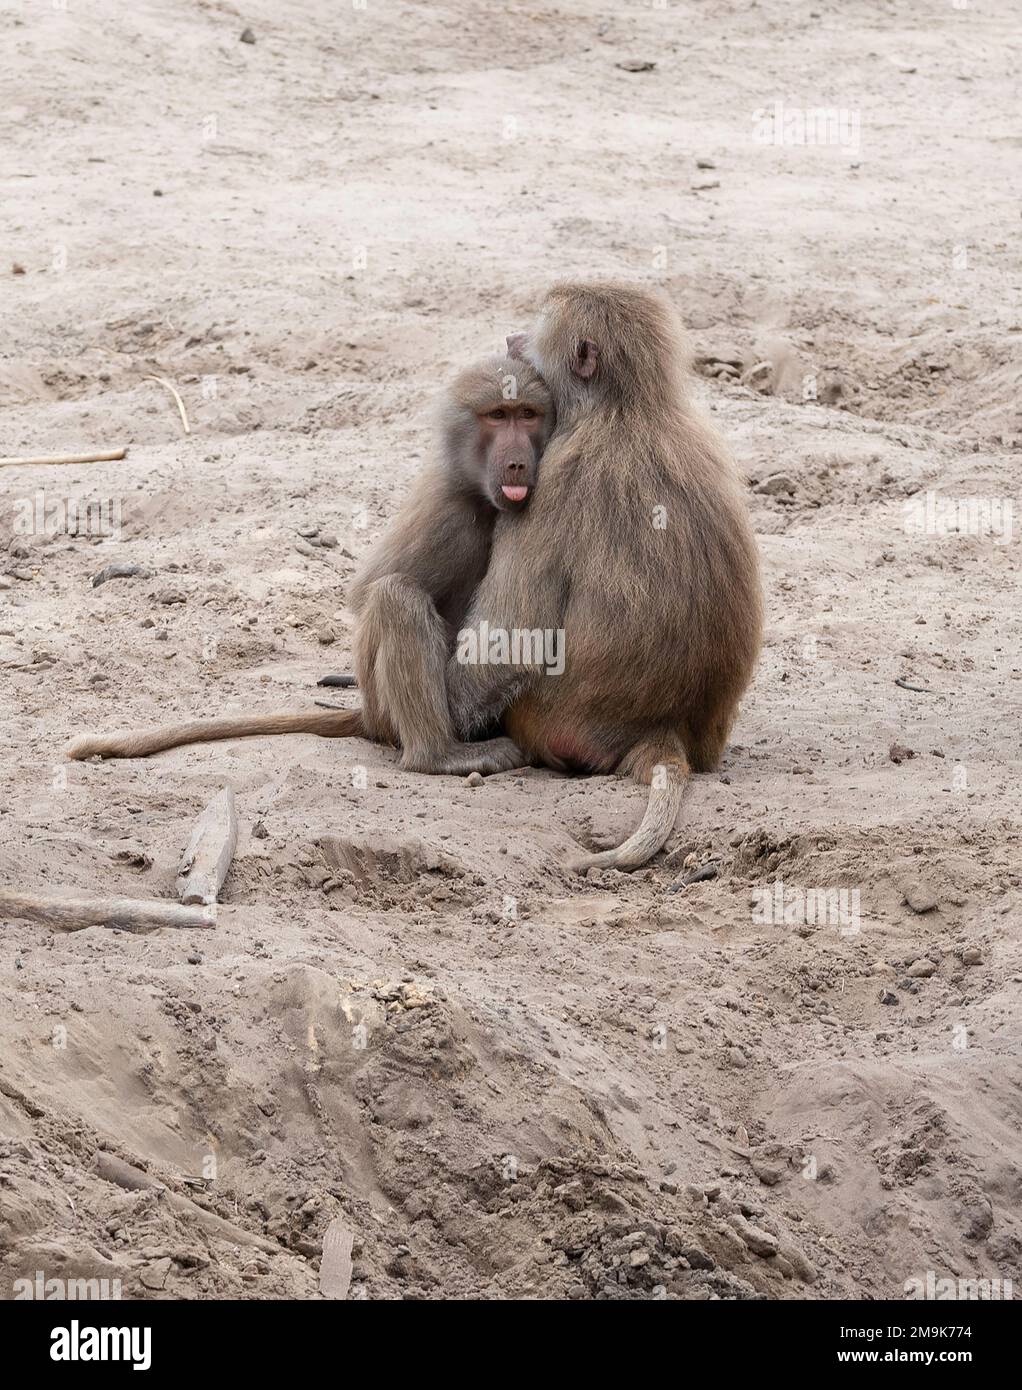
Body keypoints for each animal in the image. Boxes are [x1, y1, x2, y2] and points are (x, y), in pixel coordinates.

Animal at [67, 356, 554, 772]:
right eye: (497, 415)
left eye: (527, 413)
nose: (516, 463)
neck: (481, 498)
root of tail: (368, 714)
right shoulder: (446, 514)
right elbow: (367, 593)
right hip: (384, 708)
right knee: (395, 596)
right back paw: (438, 756)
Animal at [443, 281, 763, 872]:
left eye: (536, 329)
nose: (511, 339)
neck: (625, 406)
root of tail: (664, 731)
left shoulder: (551, 477)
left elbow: (509, 643)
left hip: (548, 722)